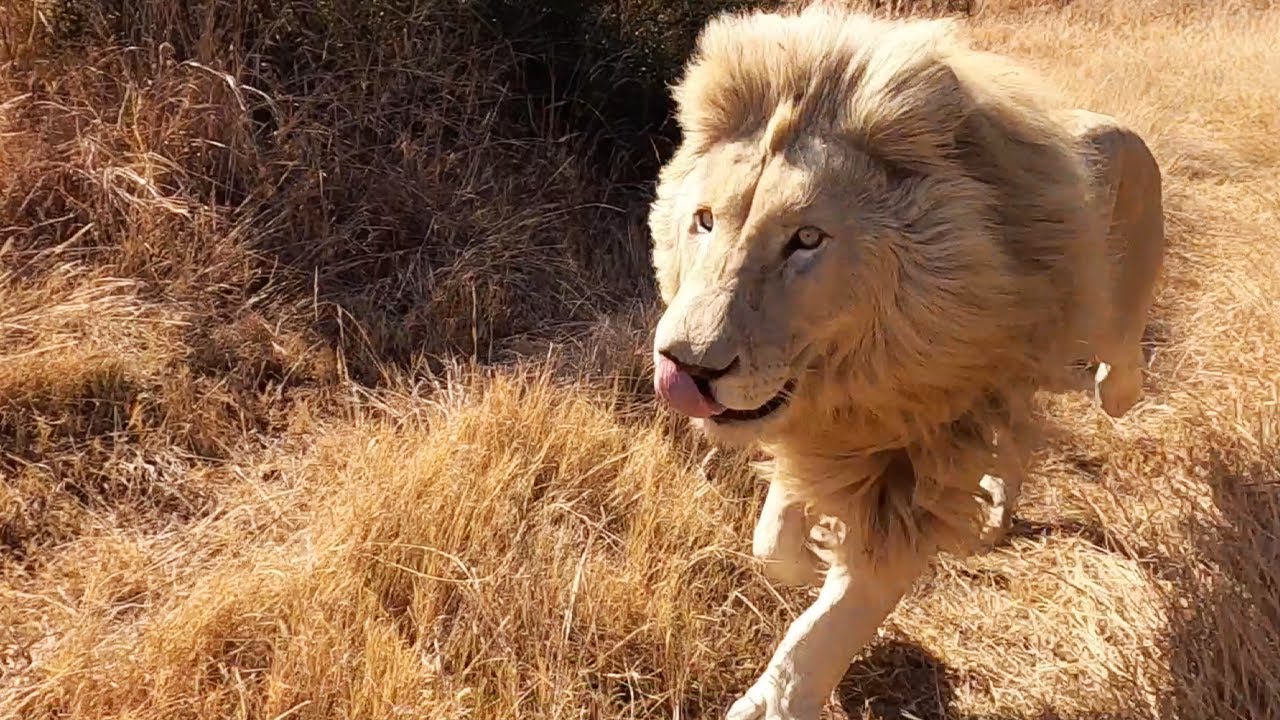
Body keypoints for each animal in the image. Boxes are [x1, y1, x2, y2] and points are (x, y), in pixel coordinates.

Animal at [646, 6, 1165, 719]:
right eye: (703, 221)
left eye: (807, 238)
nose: (686, 367)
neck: (863, 374)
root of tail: (1111, 122)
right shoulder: (816, 425)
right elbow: (771, 542)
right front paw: (809, 553)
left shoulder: (924, 459)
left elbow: (838, 613)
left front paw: (780, 696)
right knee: (1015, 446)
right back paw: (994, 519)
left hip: (1112, 295)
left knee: (1119, 360)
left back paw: (1116, 387)